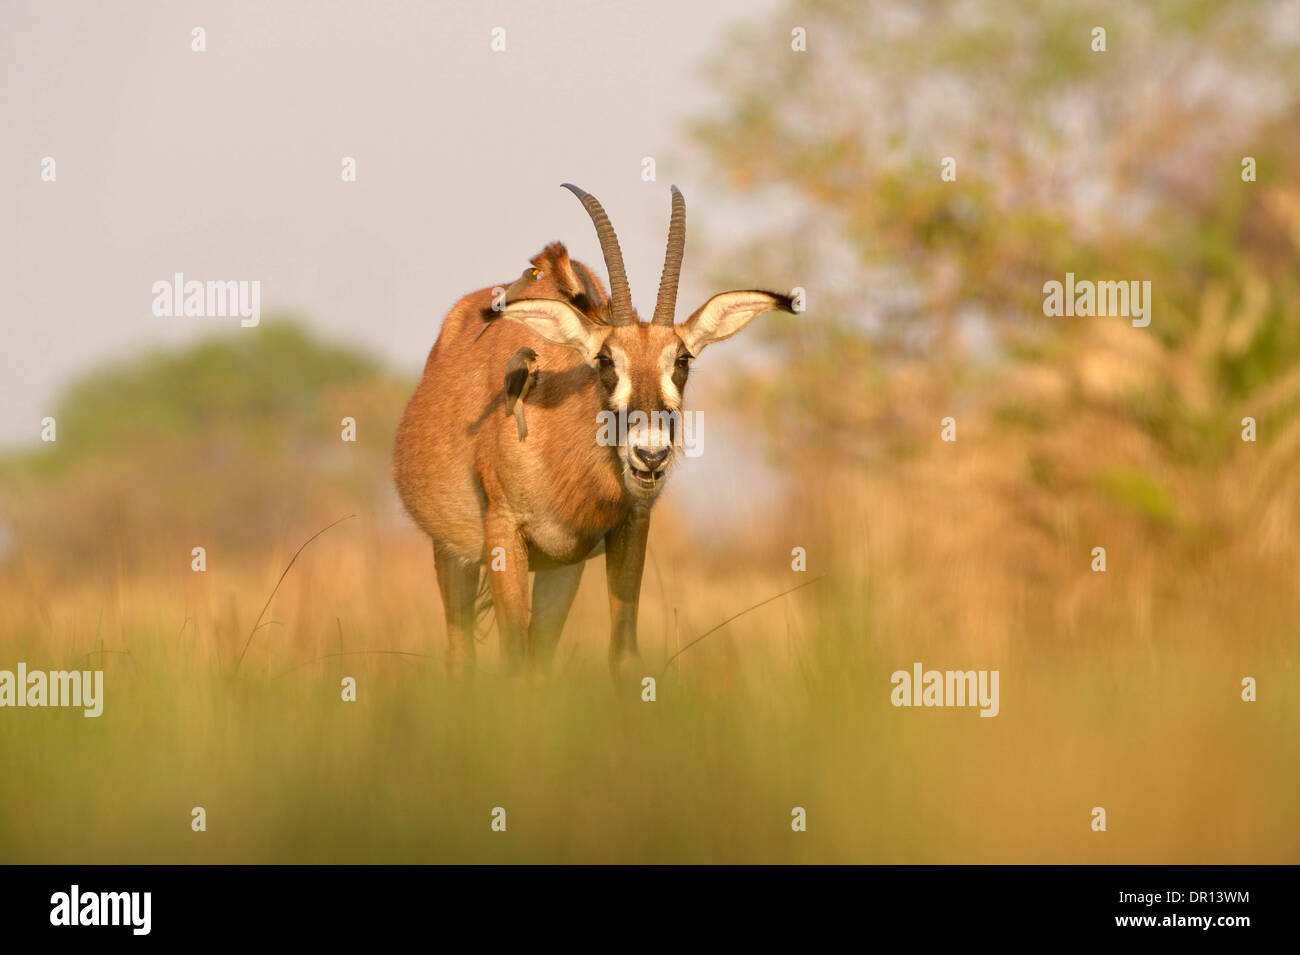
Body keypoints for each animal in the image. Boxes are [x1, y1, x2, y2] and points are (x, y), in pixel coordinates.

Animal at [393, 184, 793, 680]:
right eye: (605, 359)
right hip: (453, 554)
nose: (650, 455)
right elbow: (512, 658)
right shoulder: (504, 531)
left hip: (559, 569)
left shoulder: (629, 526)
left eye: (681, 360)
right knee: (462, 655)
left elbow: (621, 654)